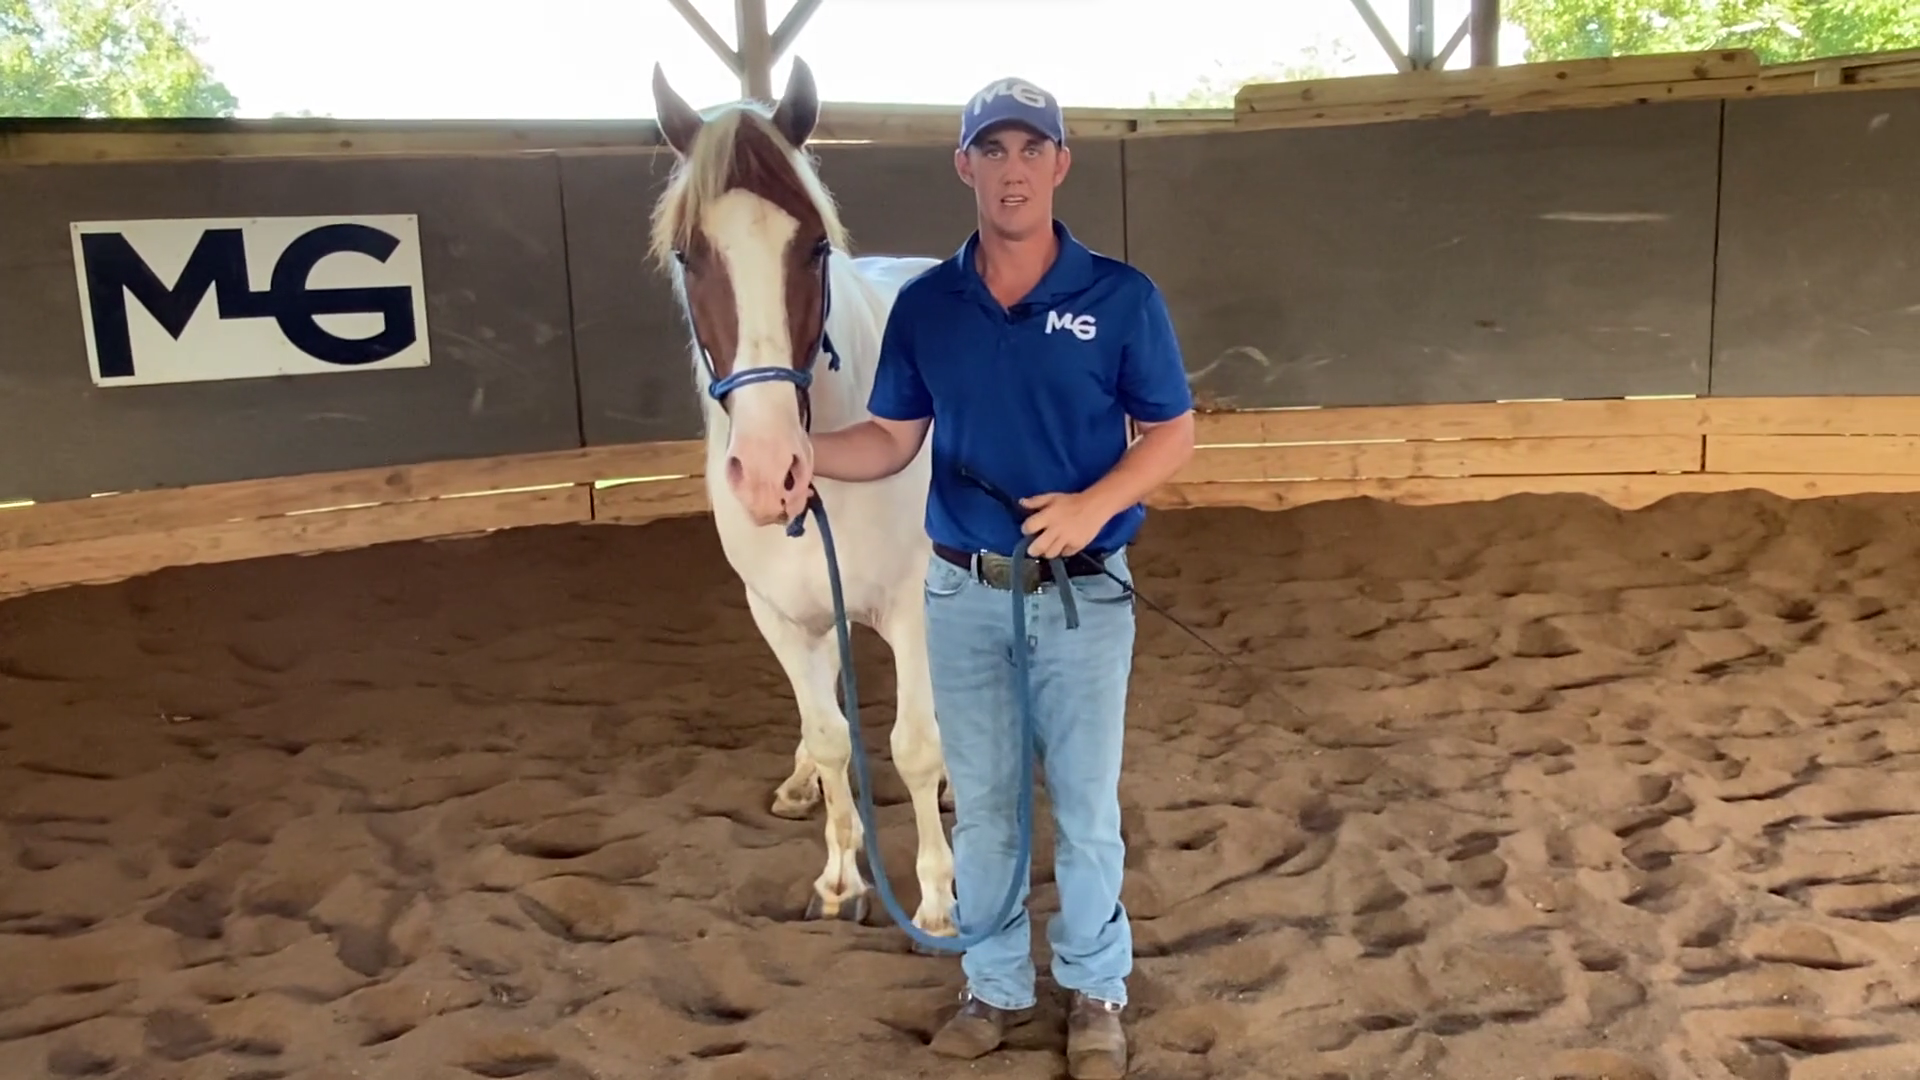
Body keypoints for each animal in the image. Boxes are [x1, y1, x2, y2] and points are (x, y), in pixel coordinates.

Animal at [646, 57, 957, 941]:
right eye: (688, 254)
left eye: (813, 246)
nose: (768, 468)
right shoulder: (779, 614)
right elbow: (830, 738)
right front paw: (840, 879)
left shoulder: (917, 606)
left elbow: (916, 744)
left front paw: (939, 899)